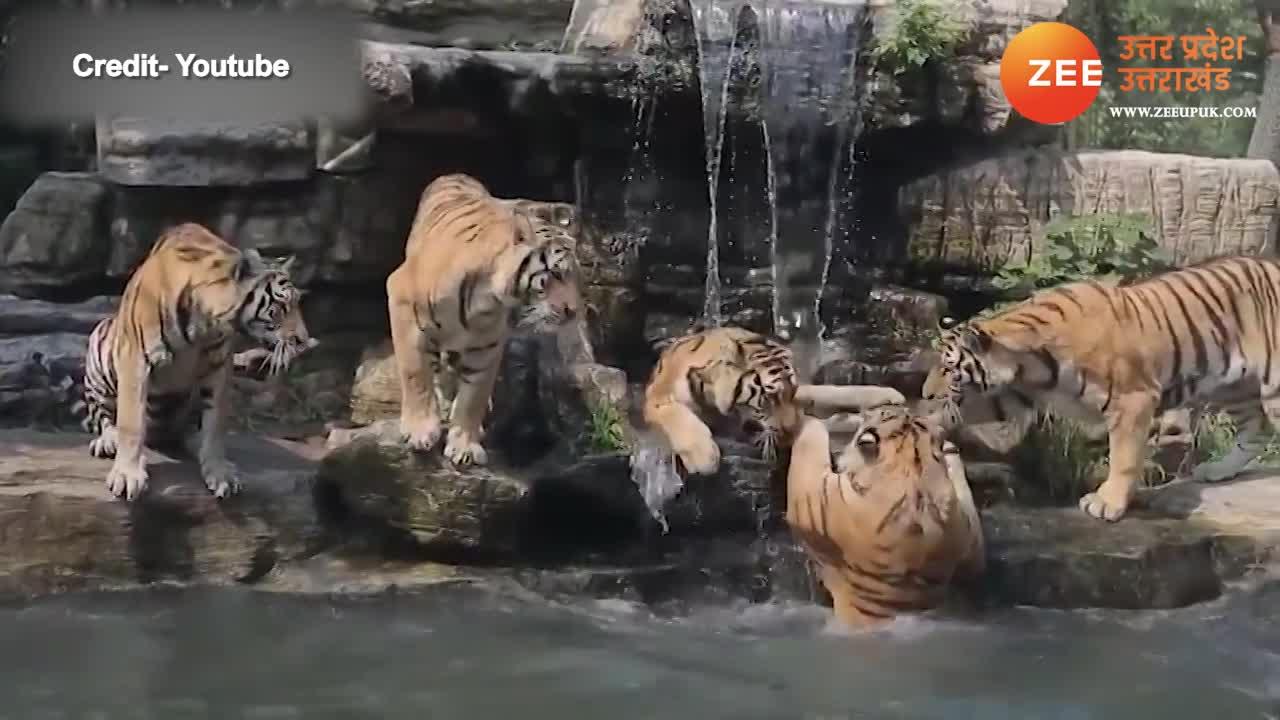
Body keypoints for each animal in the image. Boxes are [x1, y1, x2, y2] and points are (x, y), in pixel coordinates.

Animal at [78, 222, 315, 501]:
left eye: (297, 303)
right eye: (280, 307)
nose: (302, 339)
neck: (206, 322)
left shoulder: (219, 366)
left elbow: (215, 424)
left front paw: (220, 472)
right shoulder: (135, 358)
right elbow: (131, 422)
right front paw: (127, 475)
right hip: (100, 355)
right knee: (102, 416)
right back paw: (108, 441)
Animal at [386, 173, 582, 467]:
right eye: (556, 274)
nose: (574, 311)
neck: (488, 298)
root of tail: (455, 173)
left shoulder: (486, 344)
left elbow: (474, 396)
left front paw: (465, 446)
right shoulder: (403, 301)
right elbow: (415, 373)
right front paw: (420, 431)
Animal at [642, 325, 908, 475]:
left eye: (788, 393)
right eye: (769, 398)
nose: (791, 430)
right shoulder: (657, 398)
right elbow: (676, 413)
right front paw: (704, 456)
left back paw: (888, 395)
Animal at [785, 403, 985, 627]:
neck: (914, 474)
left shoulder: (809, 499)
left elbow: (811, 436)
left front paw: (805, 416)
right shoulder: (966, 538)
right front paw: (950, 450)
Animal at [928, 254, 1280, 522]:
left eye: (948, 368)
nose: (926, 393)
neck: (1028, 365)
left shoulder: (1133, 400)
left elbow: (1123, 457)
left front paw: (1106, 503)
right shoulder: (1015, 395)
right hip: (1233, 388)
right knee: (1255, 430)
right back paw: (1219, 470)